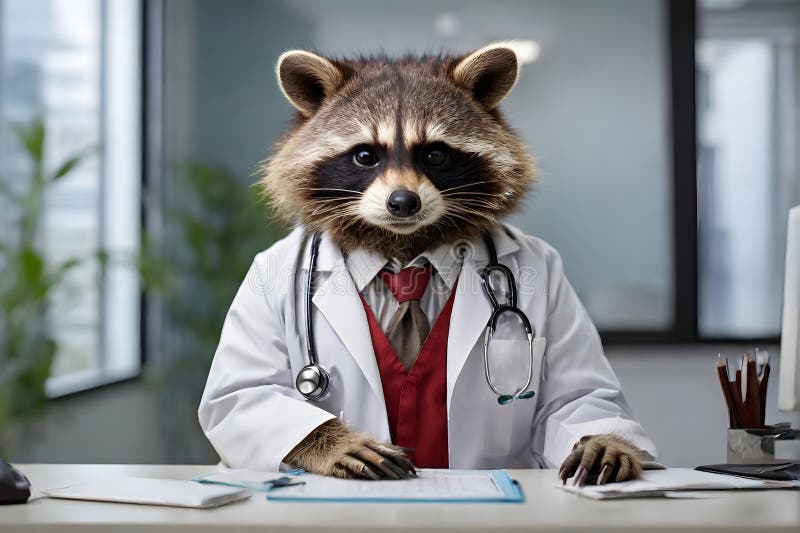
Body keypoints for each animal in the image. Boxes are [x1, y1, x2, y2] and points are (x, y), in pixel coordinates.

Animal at [258, 42, 645, 484]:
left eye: (435, 154)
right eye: (365, 155)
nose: (403, 202)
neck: (404, 249)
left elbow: (579, 395)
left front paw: (606, 439)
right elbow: (249, 390)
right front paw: (333, 441)